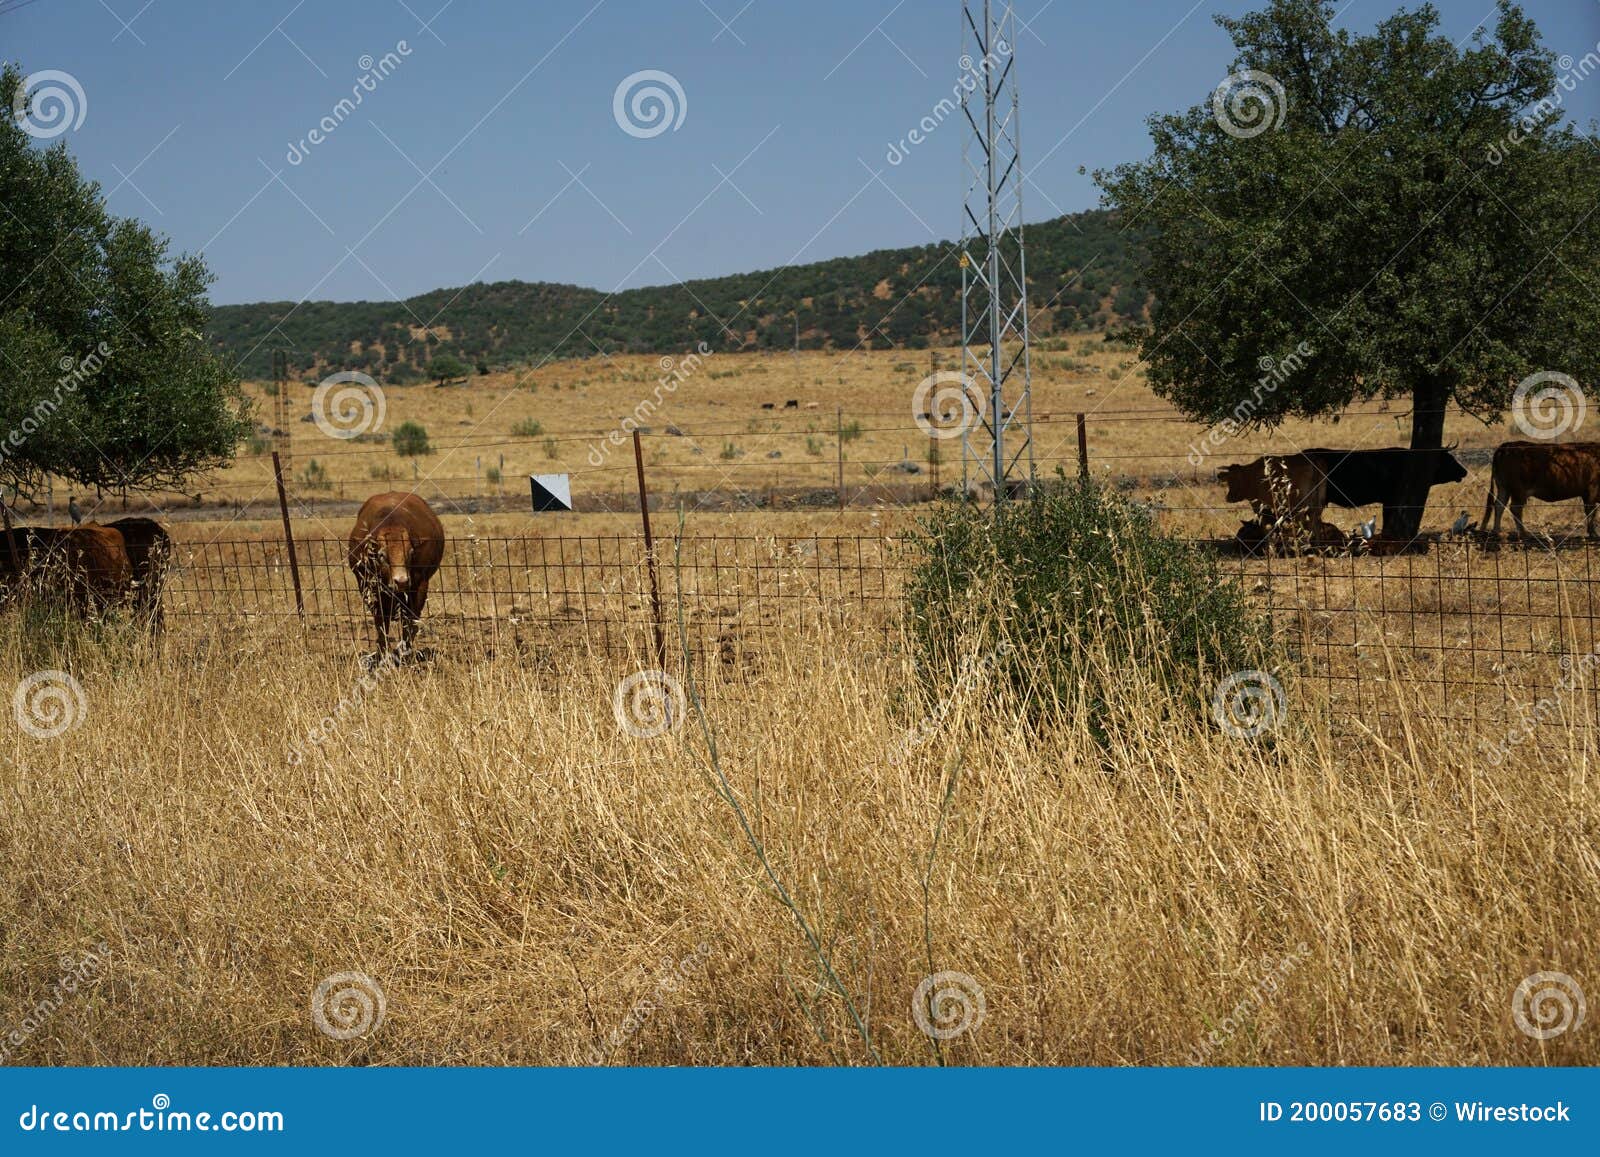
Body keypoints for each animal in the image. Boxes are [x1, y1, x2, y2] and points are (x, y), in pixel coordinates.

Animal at [348, 492, 446, 660]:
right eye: (382, 555)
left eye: (411, 553)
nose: (401, 581)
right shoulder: (368, 587)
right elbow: (381, 622)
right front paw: (382, 652)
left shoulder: (419, 586)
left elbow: (409, 621)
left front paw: (405, 651)